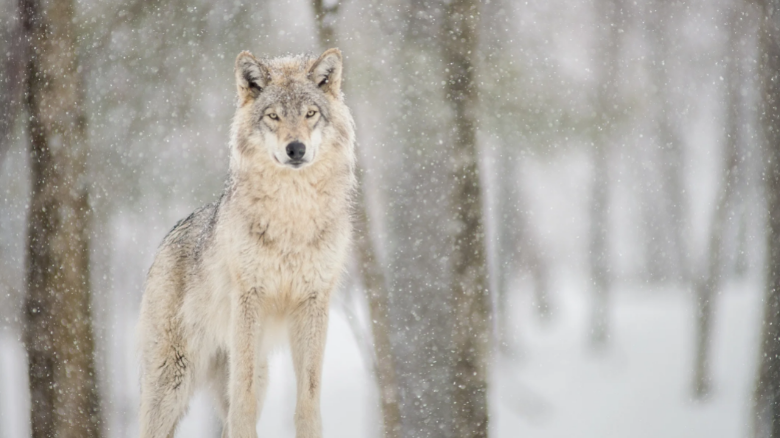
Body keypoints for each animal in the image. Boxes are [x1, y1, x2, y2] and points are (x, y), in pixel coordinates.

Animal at [137, 48, 355, 438]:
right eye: (274, 116)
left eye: (310, 114)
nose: (295, 148)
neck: (292, 217)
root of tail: (167, 238)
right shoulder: (248, 299)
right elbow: (244, 399)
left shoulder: (315, 302)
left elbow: (308, 399)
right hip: (172, 382)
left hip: (256, 368)